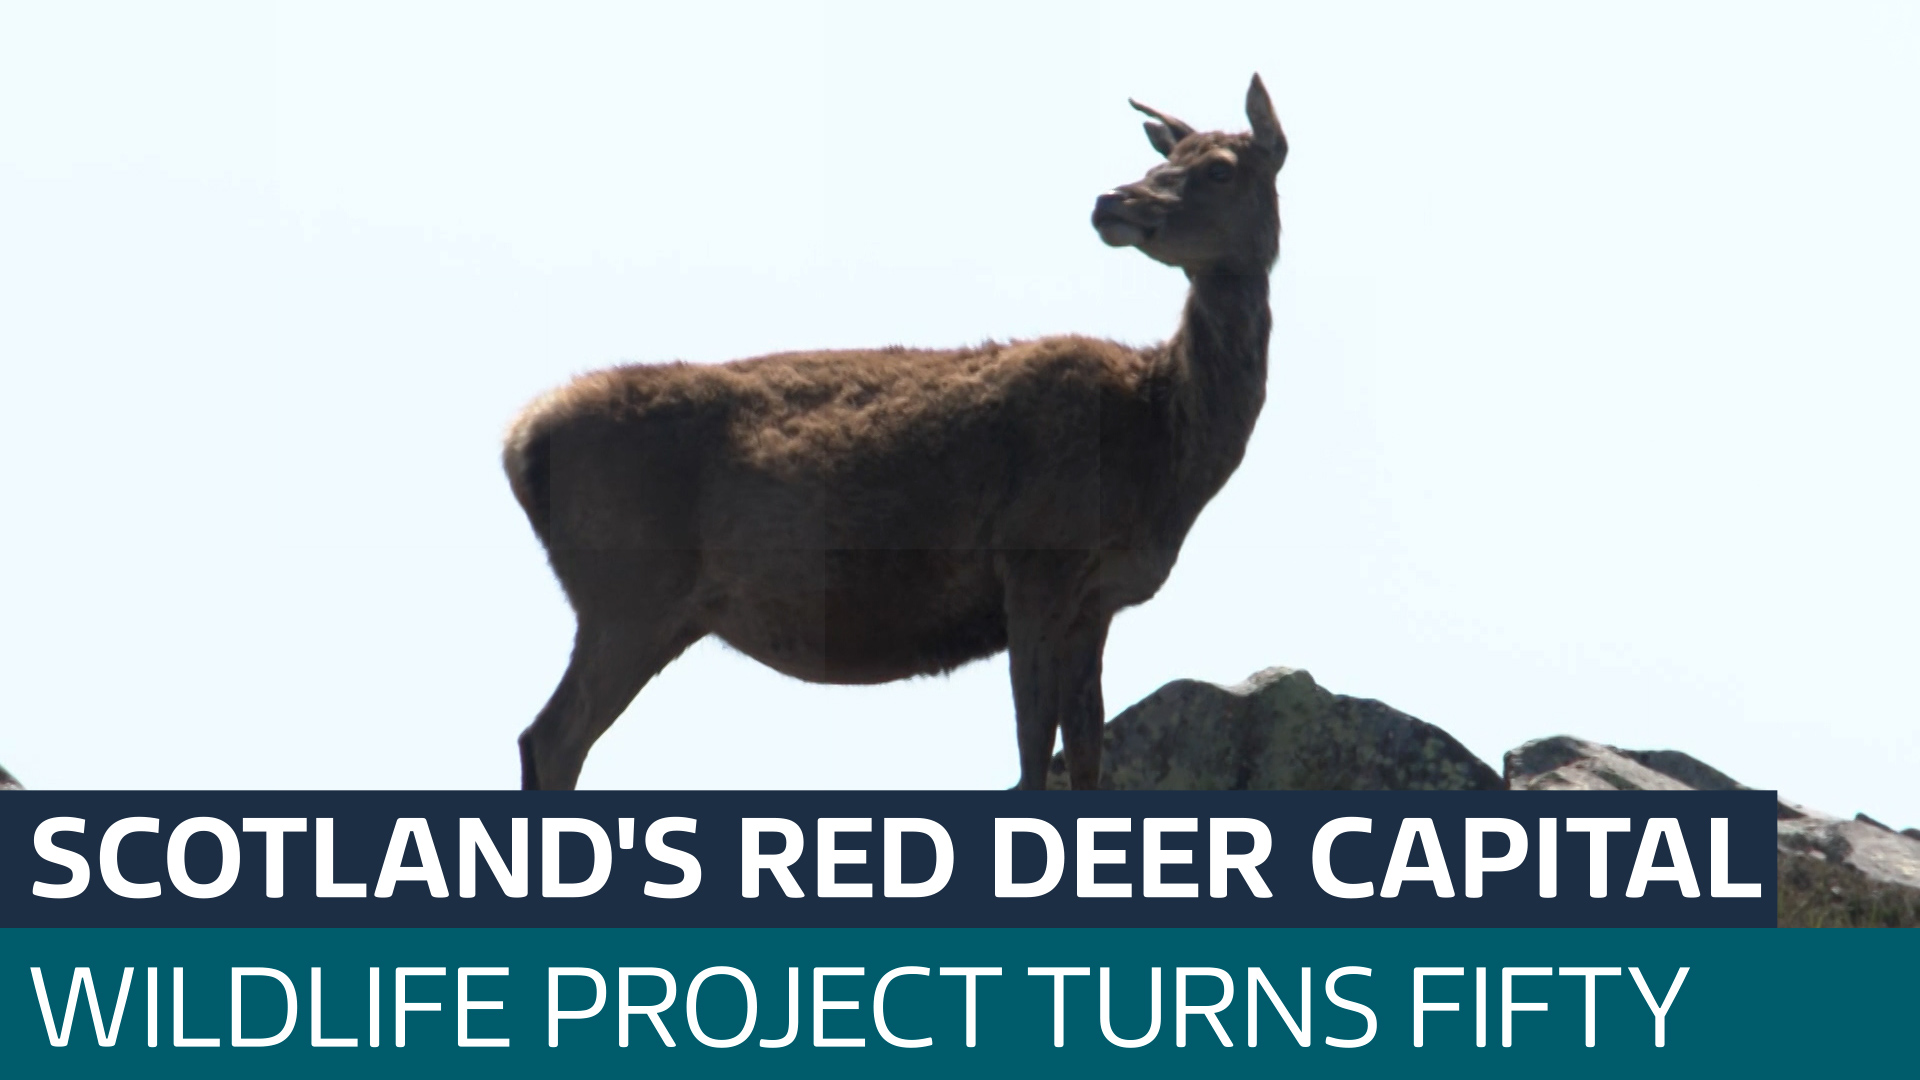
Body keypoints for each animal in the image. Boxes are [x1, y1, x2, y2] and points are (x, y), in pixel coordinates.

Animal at [505, 75, 1287, 791]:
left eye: (1219, 167)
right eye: (1169, 158)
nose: (1111, 202)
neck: (1159, 454)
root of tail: (519, 443)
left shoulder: (1096, 600)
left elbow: (1087, 756)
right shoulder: (1038, 557)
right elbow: (1034, 757)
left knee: (544, 738)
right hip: (626, 588)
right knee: (553, 739)